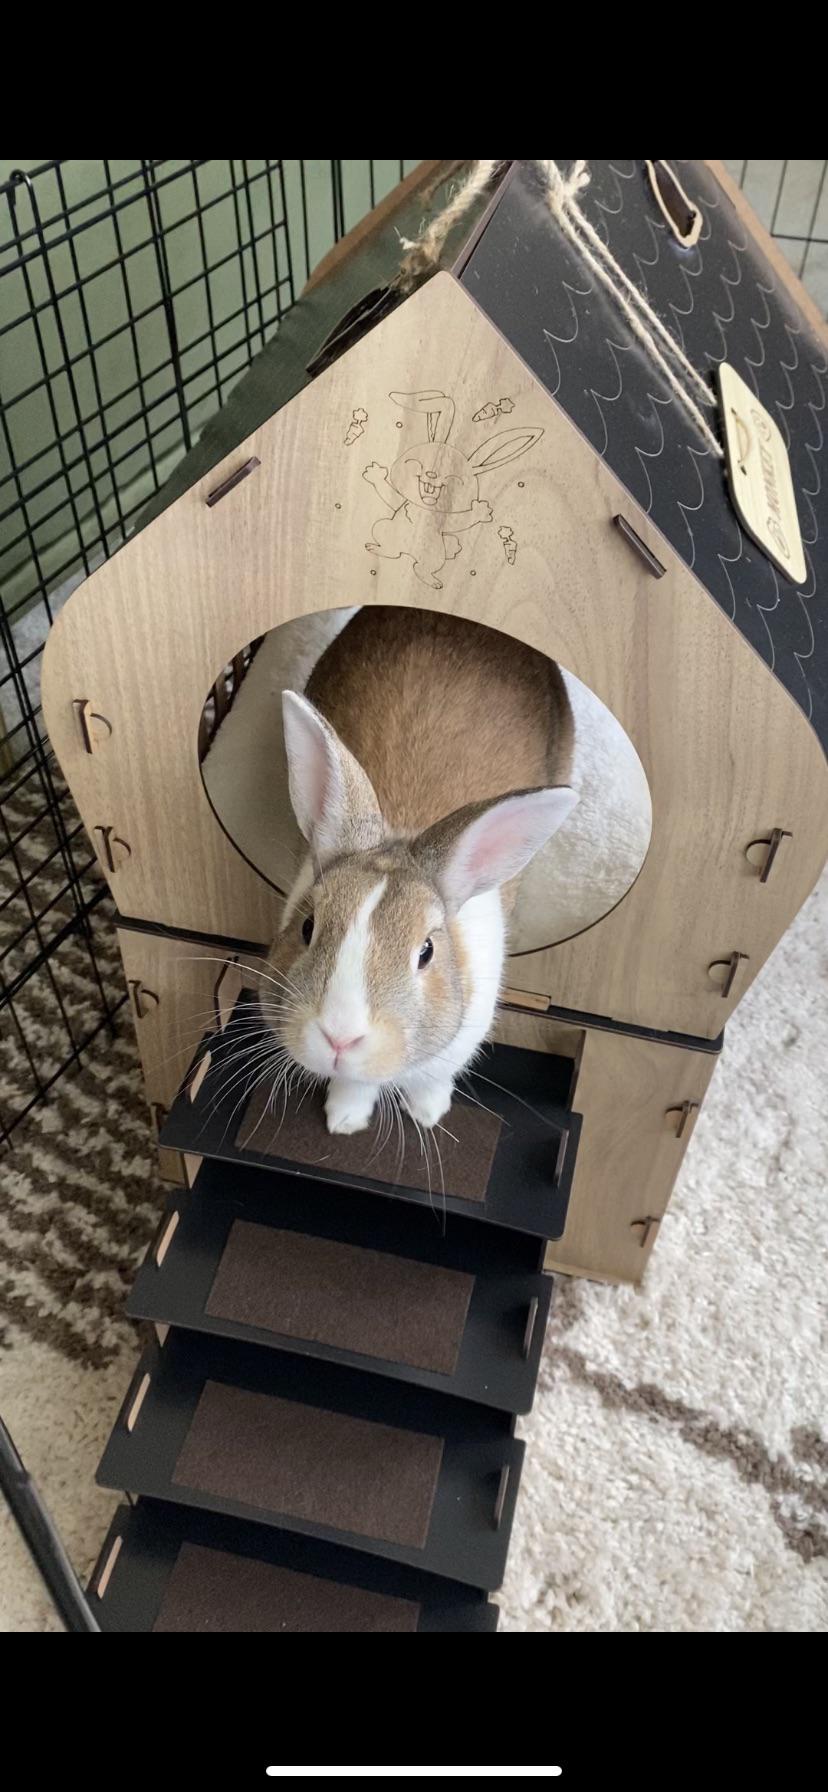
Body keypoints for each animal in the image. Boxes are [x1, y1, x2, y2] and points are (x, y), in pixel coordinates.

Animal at [268, 607, 576, 1137]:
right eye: (307, 928)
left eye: (426, 953)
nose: (339, 1037)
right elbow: (357, 1084)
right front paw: (344, 1120)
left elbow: (433, 1078)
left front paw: (429, 1115)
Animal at [363, 391, 543, 590]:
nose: (431, 473)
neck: (423, 508)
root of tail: (408, 554)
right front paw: (375, 474)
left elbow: (458, 522)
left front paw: (481, 511)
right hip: (384, 528)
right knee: (391, 550)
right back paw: (376, 548)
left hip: (433, 555)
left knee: (421, 568)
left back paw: (431, 579)